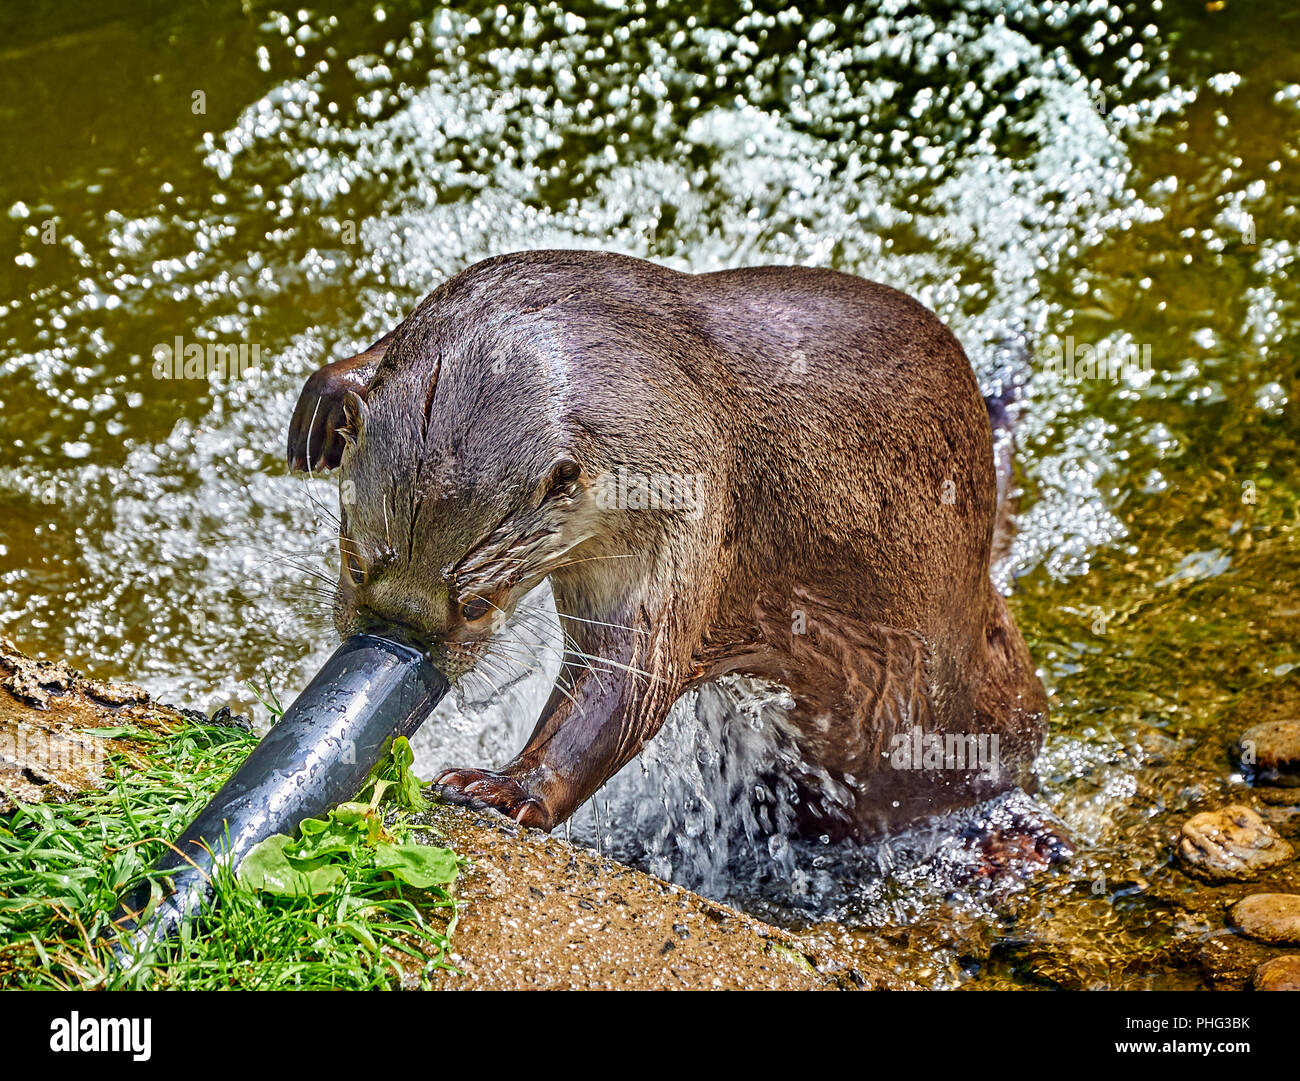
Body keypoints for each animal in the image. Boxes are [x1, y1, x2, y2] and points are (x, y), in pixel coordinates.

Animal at [286, 250, 1048, 840]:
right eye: (355, 561)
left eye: (474, 603)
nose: (395, 633)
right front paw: (326, 402)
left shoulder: (686, 514)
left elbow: (628, 683)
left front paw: (507, 788)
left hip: (937, 705)